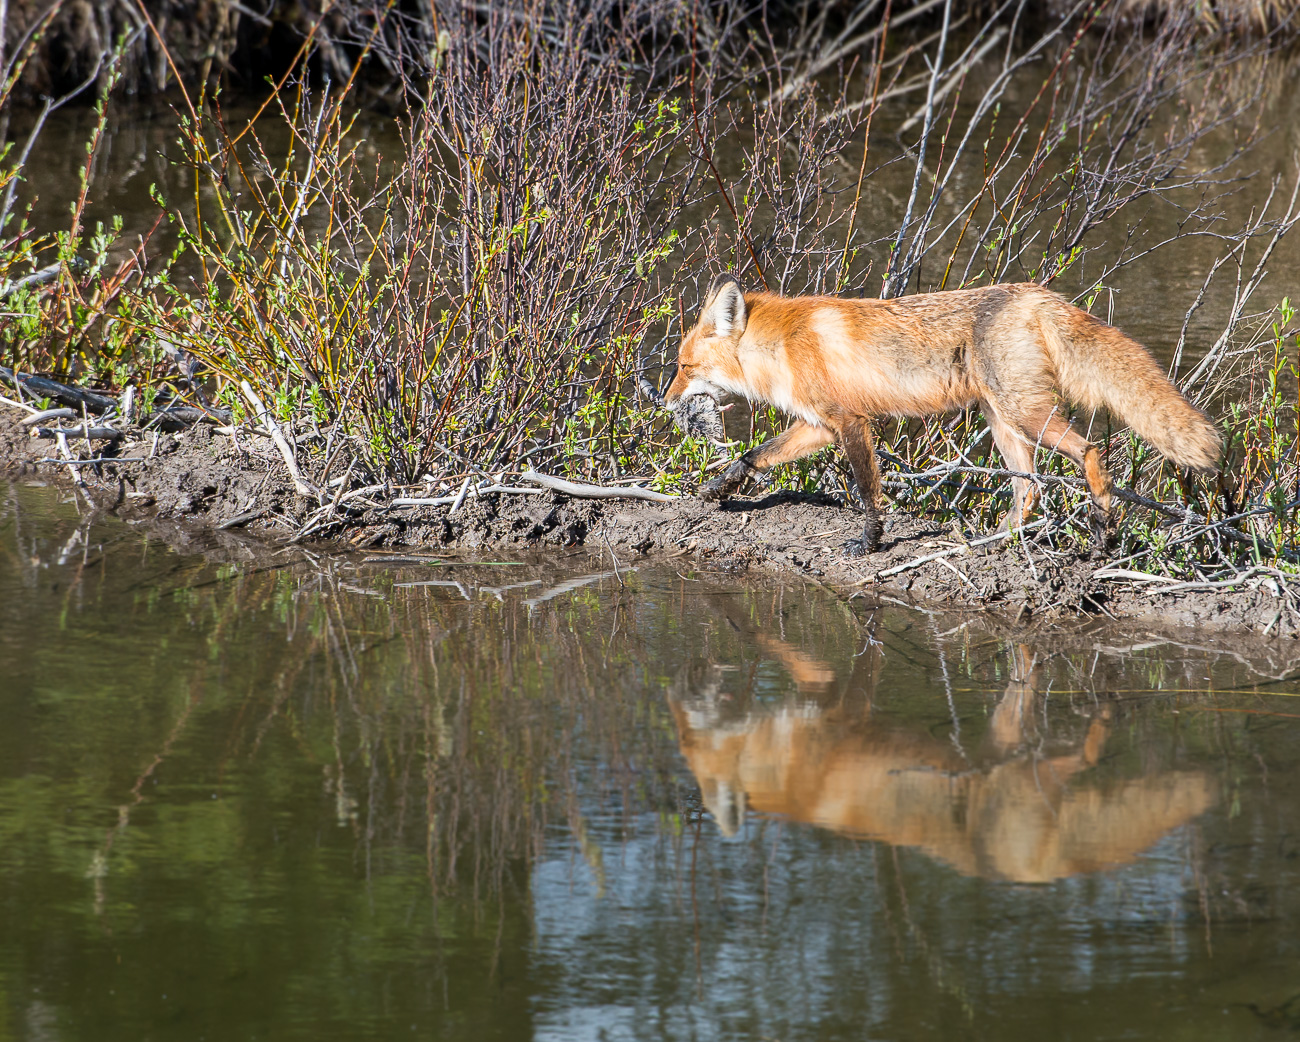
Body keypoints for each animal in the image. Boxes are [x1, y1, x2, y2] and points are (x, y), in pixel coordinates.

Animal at [664, 274, 1221, 554]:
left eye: (684, 367)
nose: (665, 400)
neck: (782, 346)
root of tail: (1036, 295)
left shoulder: (851, 422)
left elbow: (867, 490)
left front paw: (869, 543)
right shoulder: (818, 426)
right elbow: (754, 455)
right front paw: (717, 490)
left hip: (1026, 414)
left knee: (1089, 452)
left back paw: (1104, 531)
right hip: (1003, 424)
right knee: (1030, 489)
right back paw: (993, 542)